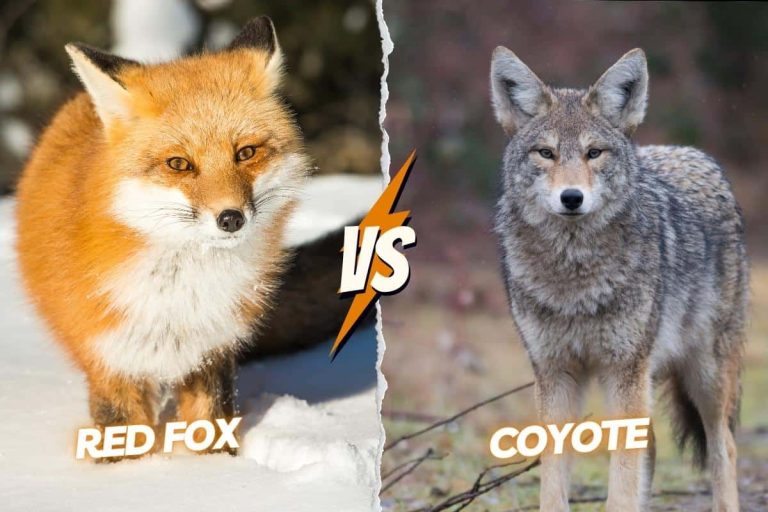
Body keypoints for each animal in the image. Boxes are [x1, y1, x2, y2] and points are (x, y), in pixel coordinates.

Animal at [15, 17, 310, 458]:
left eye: (245, 153)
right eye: (179, 164)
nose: (231, 218)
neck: (178, 298)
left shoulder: (212, 353)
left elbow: (211, 430)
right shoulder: (110, 357)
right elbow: (123, 439)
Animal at [490, 48, 747, 511]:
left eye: (594, 153)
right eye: (546, 153)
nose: (571, 197)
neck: (574, 278)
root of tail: (696, 154)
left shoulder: (624, 369)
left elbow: (623, 481)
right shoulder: (555, 374)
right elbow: (554, 481)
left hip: (705, 375)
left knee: (725, 448)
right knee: (653, 447)